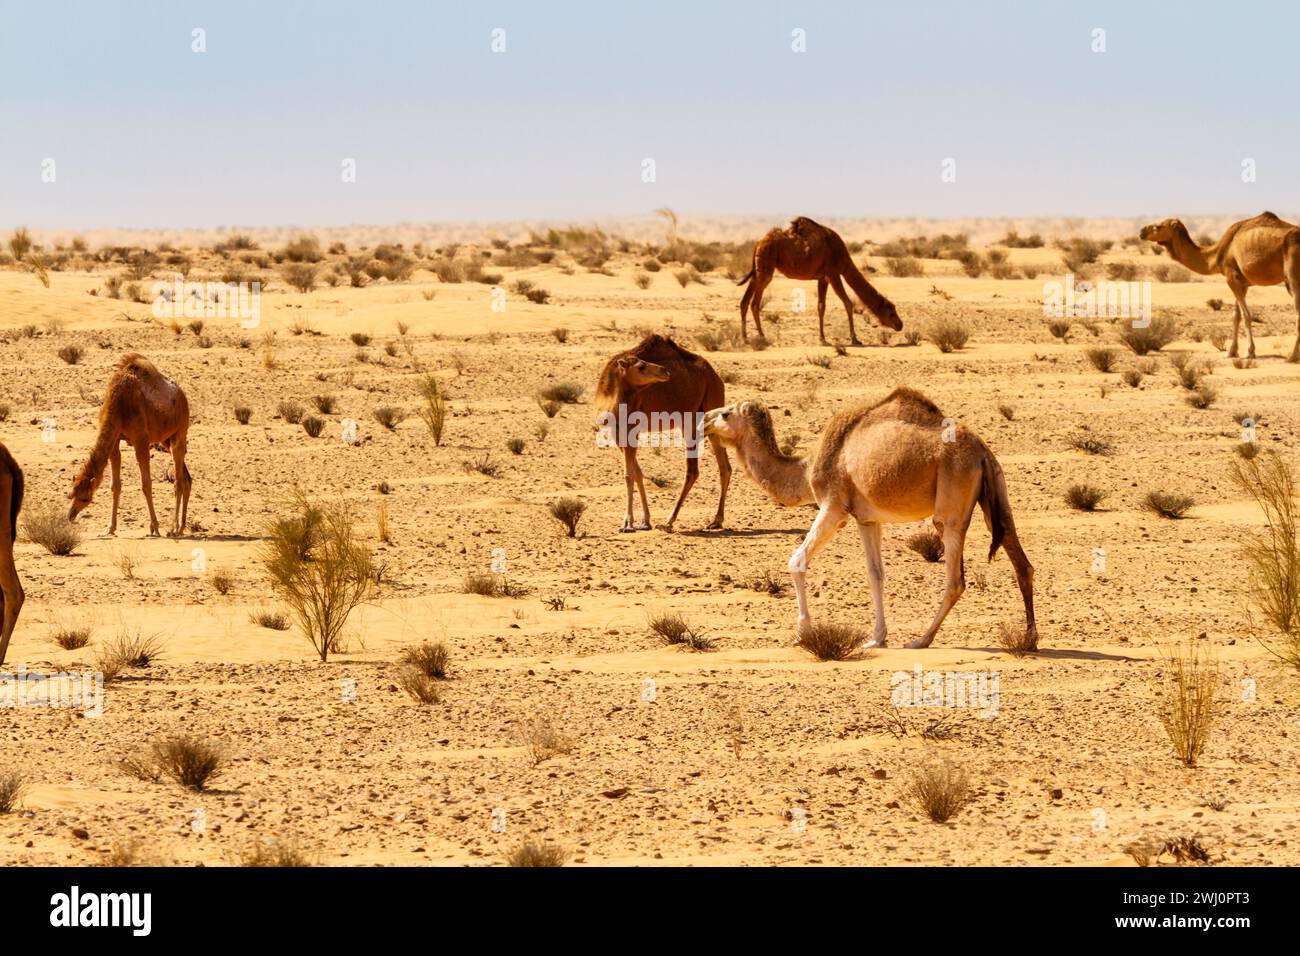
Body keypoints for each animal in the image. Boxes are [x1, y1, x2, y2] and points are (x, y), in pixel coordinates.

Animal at [68, 353, 192, 537]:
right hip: (166, 439)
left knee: (178, 481)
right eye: (70, 495)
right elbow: (115, 485)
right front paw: (110, 528)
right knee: (187, 478)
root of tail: (182, 395)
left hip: (181, 430)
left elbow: (146, 484)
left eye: (85, 498)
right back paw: (182, 527)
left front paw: (154, 527)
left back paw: (173, 528)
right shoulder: (115, 441)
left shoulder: (141, 440)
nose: (70, 515)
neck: (118, 404)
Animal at [595, 334, 732, 532]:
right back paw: (716, 520)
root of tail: (715, 376)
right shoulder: (618, 433)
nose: (665, 371)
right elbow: (637, 472)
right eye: (641, 366)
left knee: (694, 470)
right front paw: (645, 521)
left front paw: (627, 523)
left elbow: (629, 475)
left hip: (703, 410)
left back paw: (670, 521)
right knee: (724, 468)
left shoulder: (631, 428)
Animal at [702, 387, 1035, 649]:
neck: (807, 469)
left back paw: (921, 640)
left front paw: (803, 633)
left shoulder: (834, 508)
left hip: (951, 504)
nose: (704, 420)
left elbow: (796, 561)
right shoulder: (867, 519)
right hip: (996, 494)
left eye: (726, 414)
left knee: (955, 578)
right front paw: (876, 637)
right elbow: (876, 573)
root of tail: (982, 451)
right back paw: (1030, 639)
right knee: (1020, 560)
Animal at [737, 217, 903, 345]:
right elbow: (848, 303)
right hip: (766, 269)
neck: (843, 257)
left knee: (745, 300)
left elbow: (821, 306)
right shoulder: (834, 274)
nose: (900, 325)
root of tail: (758, 243)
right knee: (755, 303)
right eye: (891, 313)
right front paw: (855, 339)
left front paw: (822, 339)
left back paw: (746, 338)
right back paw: (762, 337)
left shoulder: (823, 278)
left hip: (759, 270)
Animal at [1140, 212, 1300, 362]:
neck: (1218, 253)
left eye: (1158, 226)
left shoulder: (1231, 277)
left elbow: (1246, 315)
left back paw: (1292, 357)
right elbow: (1236, 316)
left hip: (1293, 277)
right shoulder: (1242, 283)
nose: (1141, 231)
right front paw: (1231, 352)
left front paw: (1249, 352)